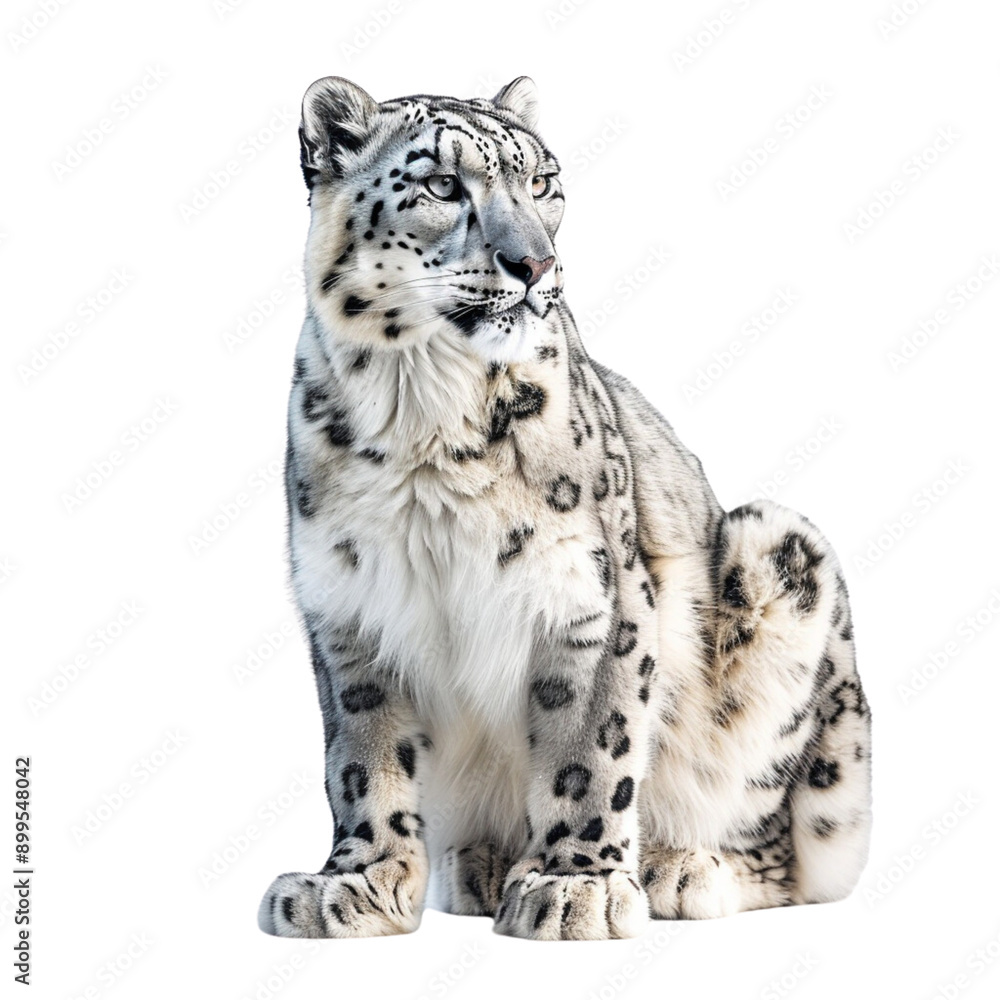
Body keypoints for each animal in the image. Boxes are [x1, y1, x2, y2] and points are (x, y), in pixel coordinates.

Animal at [257, 75, 872, 941]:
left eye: (542, 182)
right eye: (441, 185)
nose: (534, 262)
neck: (421, 410)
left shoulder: (594, 592)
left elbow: (590, 745)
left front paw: (575, 886)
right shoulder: (347, 603)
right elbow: (361, 758)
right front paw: (354, 882)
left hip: (783, 555)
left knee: (785, 843)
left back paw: (680, 867)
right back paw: (481, 866)